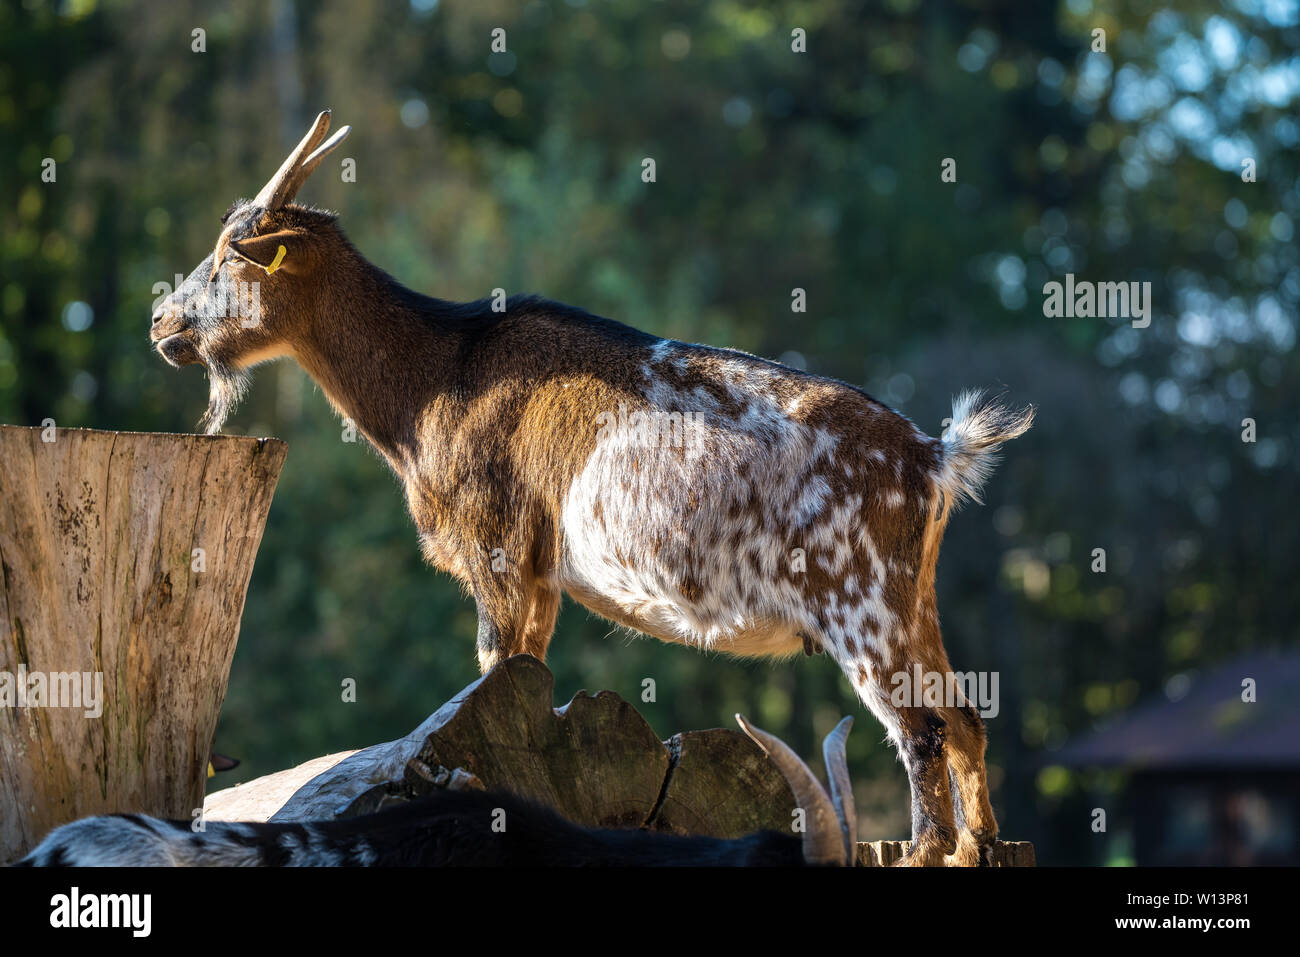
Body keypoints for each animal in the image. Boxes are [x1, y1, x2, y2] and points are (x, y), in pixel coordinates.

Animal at [149, 111, 1033, 866]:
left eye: (229, 255)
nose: (162, 324)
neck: (440, 376)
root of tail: (934, 455)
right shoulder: (542, 572)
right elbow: (523, 670)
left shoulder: (497, 547)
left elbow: (490, 660)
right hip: (912, 603)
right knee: (966, 716)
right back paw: (977, 845)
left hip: (860, 604)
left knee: (921, 727)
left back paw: (927, 849)